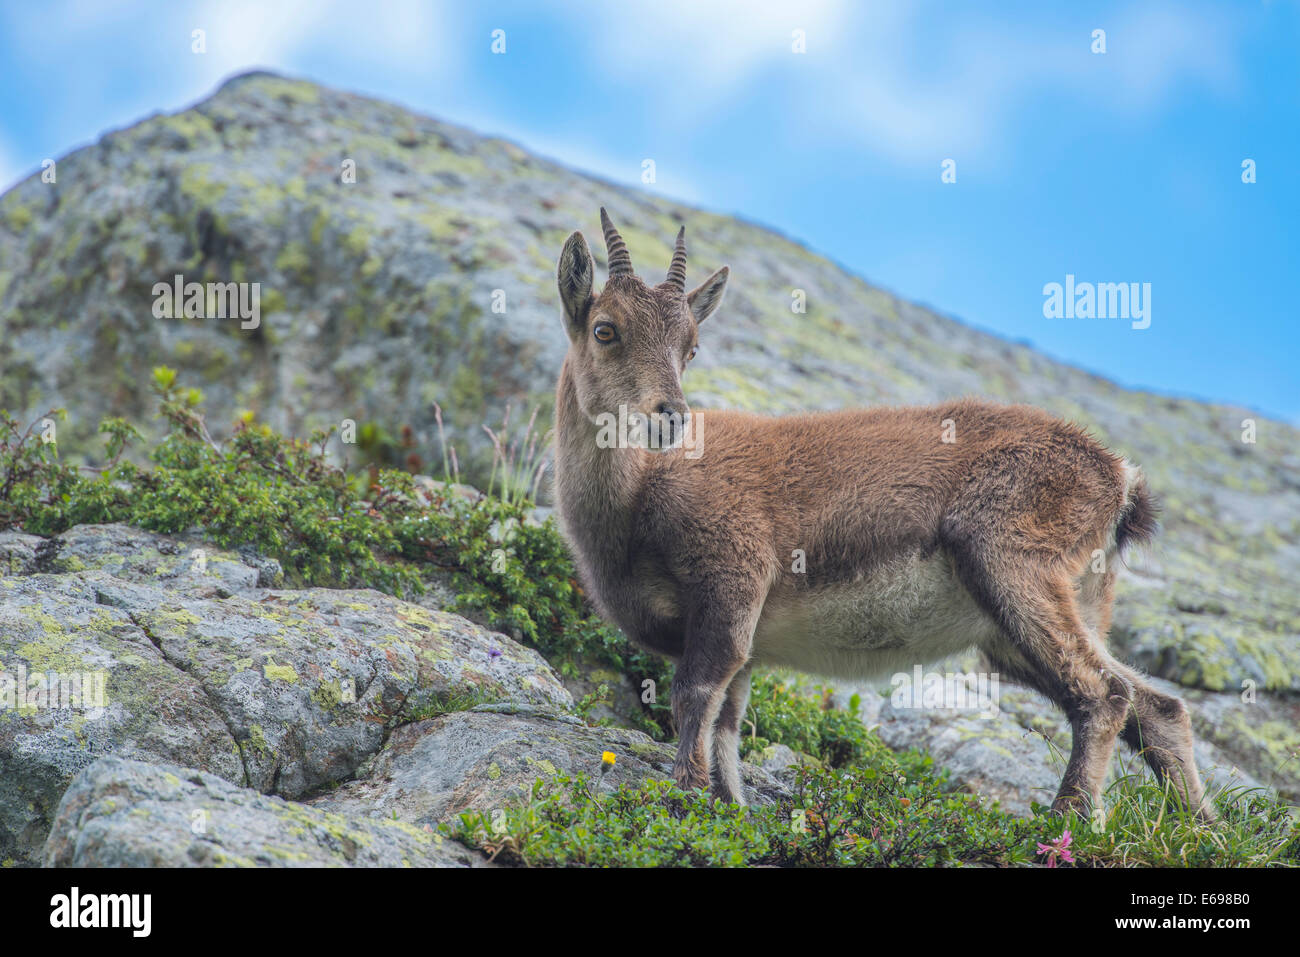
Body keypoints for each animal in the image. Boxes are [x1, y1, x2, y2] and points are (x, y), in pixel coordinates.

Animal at [552, 208, 1214, 822]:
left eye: (691, 347)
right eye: (606, 330)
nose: (670, 417)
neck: (640, 495)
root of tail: (1120, 480)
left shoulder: (731, 580)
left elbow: (696, 697)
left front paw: (687, 797)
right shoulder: (742, 642)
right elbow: (728, 724)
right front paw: (731, 806)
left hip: (1010, 561)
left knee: (1104, 695)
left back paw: (1064, 821)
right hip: (1051, 610)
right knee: (1157, 704)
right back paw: (1199, 827)